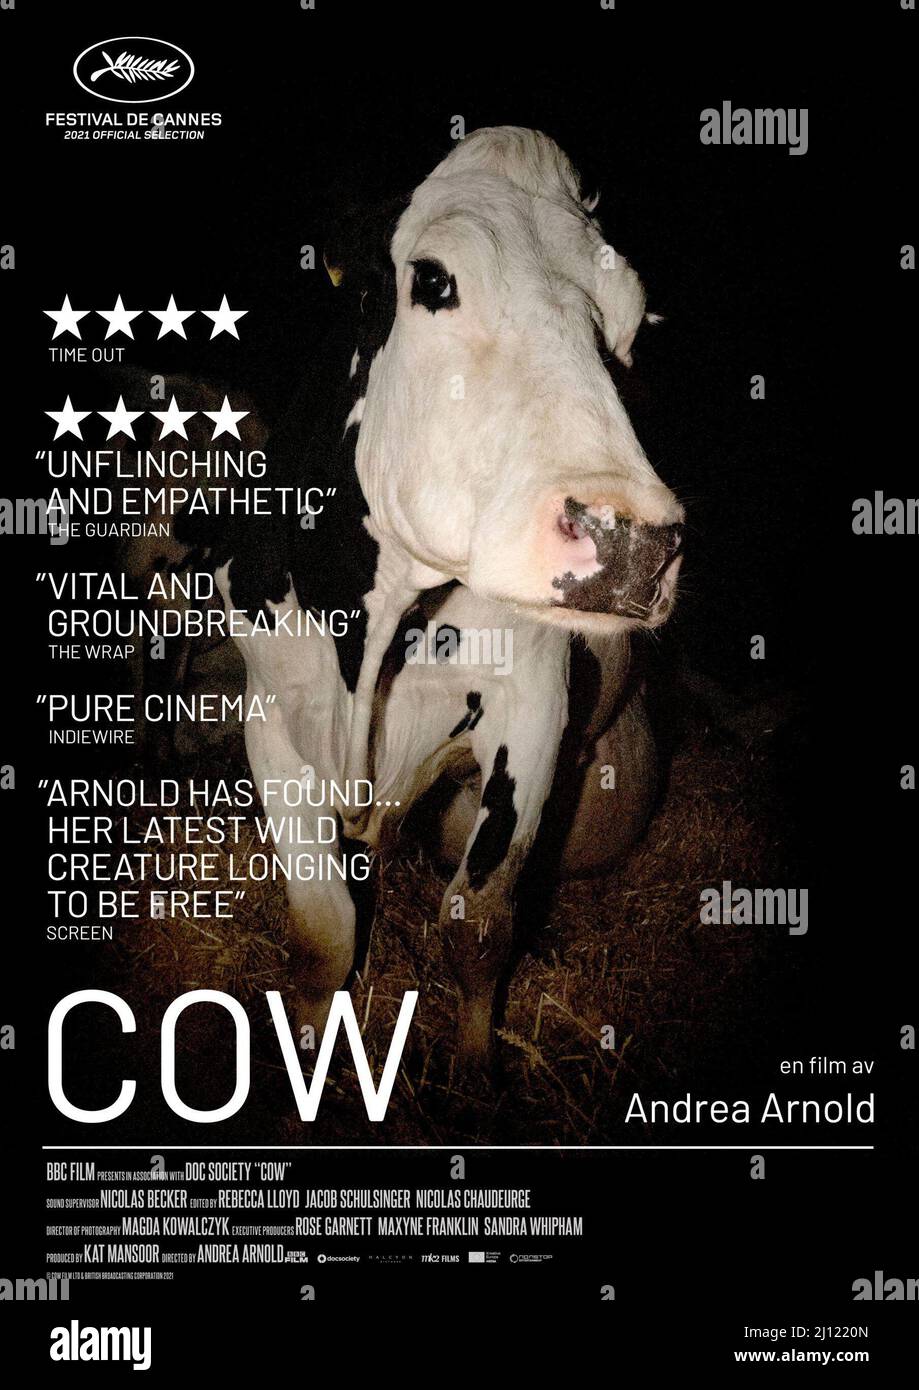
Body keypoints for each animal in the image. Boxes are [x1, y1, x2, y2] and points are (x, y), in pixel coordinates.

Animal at [203, 126, 684, 1072]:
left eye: (630, 319)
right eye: (433, 280)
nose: (634, 543)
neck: (368, 631)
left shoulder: (530, 707)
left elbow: (478, 923)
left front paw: (474, 1071)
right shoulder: (268, 709)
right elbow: (323, 931)